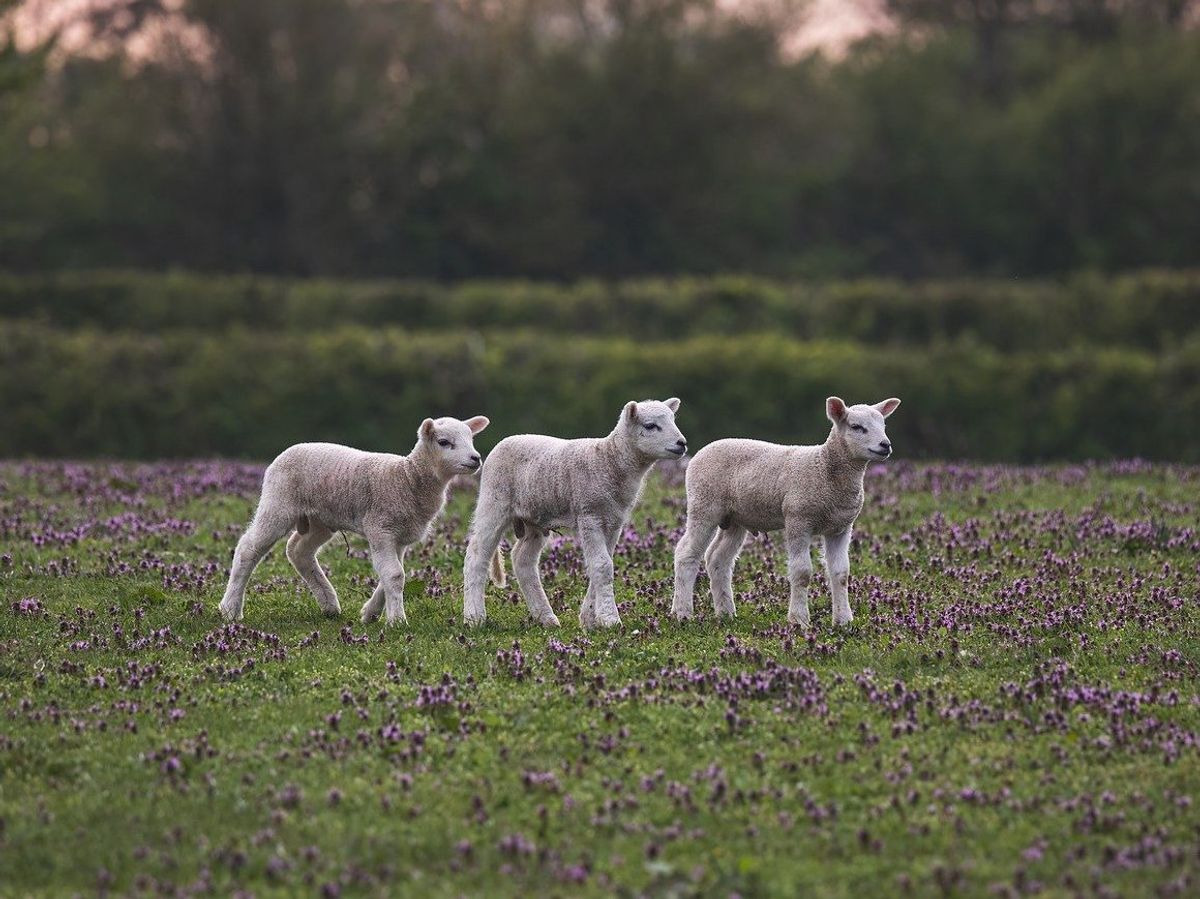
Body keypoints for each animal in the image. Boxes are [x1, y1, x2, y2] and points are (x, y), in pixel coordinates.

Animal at [218, 416, 491, 626]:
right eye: (444, 442)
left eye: (471, 439)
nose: (476, 458)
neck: (408, 477)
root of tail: (287, 451)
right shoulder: (380, 527)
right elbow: (394, 575)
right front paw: (397, 621)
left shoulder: (400, 536)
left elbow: (390, 575)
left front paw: (371, 613)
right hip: (278, 503)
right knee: (248, 548)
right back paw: (230, 609)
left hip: (320, 519)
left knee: (298, 550)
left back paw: (329, 604)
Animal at [462, 398, 687, 629]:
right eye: (650, 426)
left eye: (673, 420)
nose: (682, 443)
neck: (609, 460)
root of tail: (505, 441)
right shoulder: (589, 514)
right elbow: (602, 565)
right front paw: (610, 619)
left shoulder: (614, 521)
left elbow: (603, 564)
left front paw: (590, 619)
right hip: (494, 502)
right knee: (476, 556)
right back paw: (474, 617)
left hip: (535, 518)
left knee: (522, 560)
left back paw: (546, 618)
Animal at [671, 397, 900, 628]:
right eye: (856, 427)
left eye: (883, 425)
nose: (886, 445)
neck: (825, 467)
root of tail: (700, 453)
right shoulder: (798, 519)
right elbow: (802, 572)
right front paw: (799, 620)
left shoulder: (841, 527)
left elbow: (841, 574)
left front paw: (843, 621)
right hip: (704, 505)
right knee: (686, 554)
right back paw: (682, 613)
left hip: (735, 518)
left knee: (718, 559)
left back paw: (726, 613)